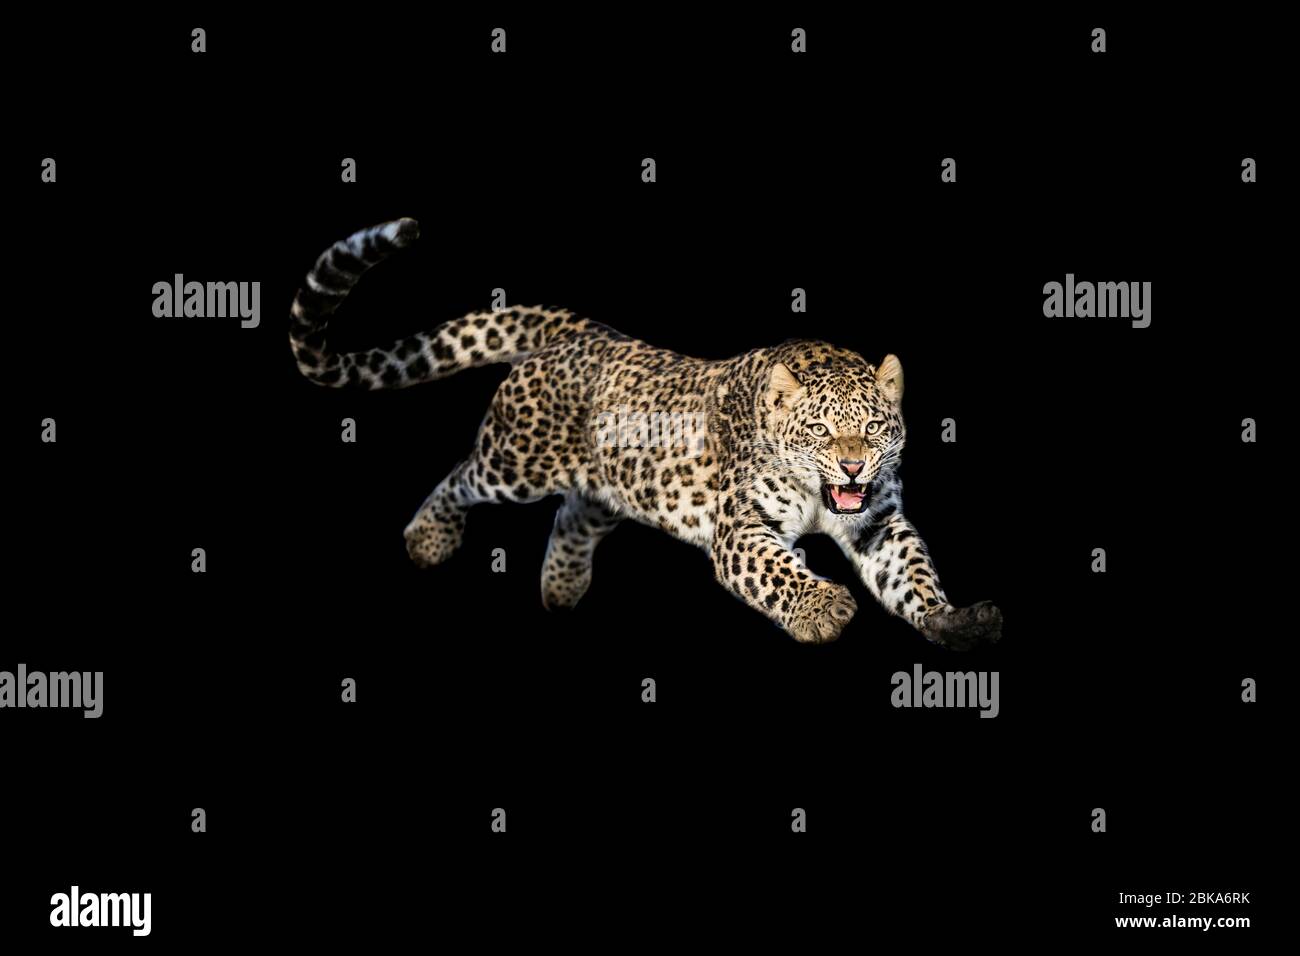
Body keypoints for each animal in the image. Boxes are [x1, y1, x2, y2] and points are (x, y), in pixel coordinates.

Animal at [289, 218, 1002, 649]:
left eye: (875, 429)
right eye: (822, 431)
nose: (853, 468)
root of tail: (586, 333)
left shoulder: (880, 522)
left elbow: (911, 574)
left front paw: (953, 621)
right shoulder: (741, 530)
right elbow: (776, 568)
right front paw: (821, 608)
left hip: (615, 485)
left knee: (575, 515)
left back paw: (561, 592)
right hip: (515, 462)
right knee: (462, 476)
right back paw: (428, 538)